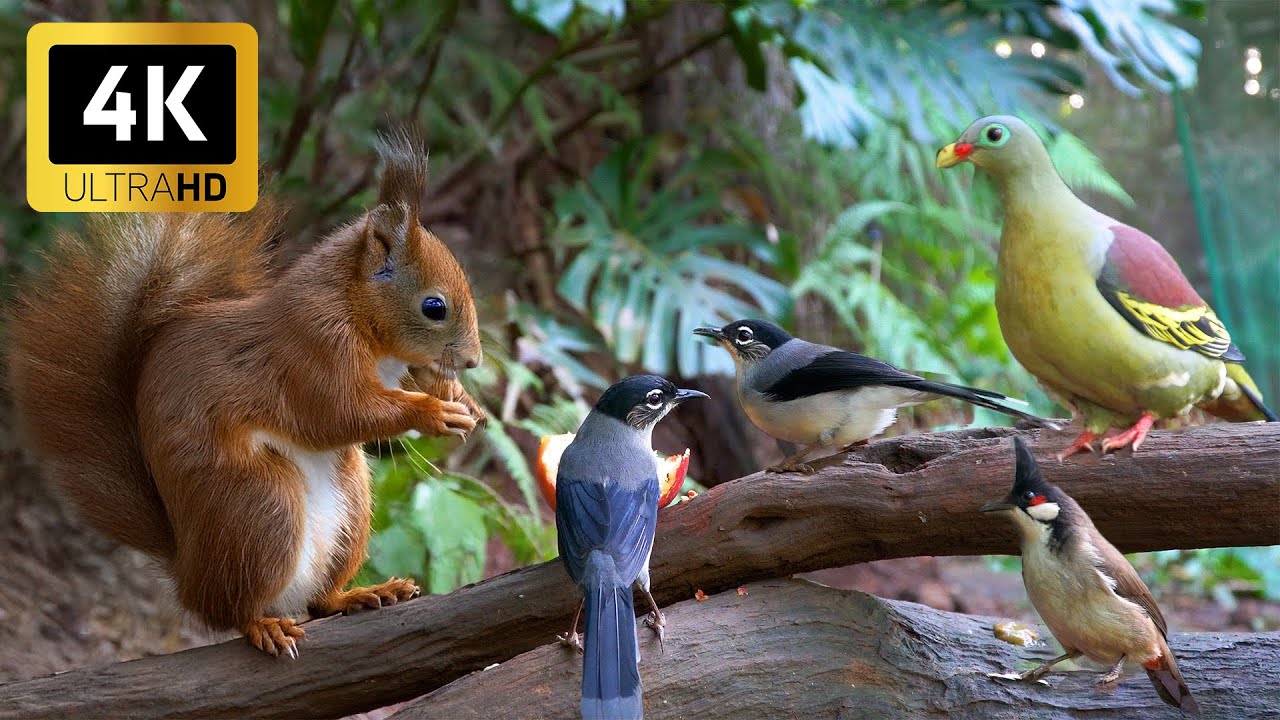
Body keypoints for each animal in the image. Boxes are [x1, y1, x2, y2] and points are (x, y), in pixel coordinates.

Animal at [7, 132, 484, 657]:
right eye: (434, 307)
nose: (474, 361)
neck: (353, 306)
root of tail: (189, 572)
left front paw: (464, 401)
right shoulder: (310, 350)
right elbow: (339, 412)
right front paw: (434, 412)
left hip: (352, 501)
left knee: (319, 601)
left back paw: (361, 594)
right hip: (262, 506)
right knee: (234, 609)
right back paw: (263, 624)